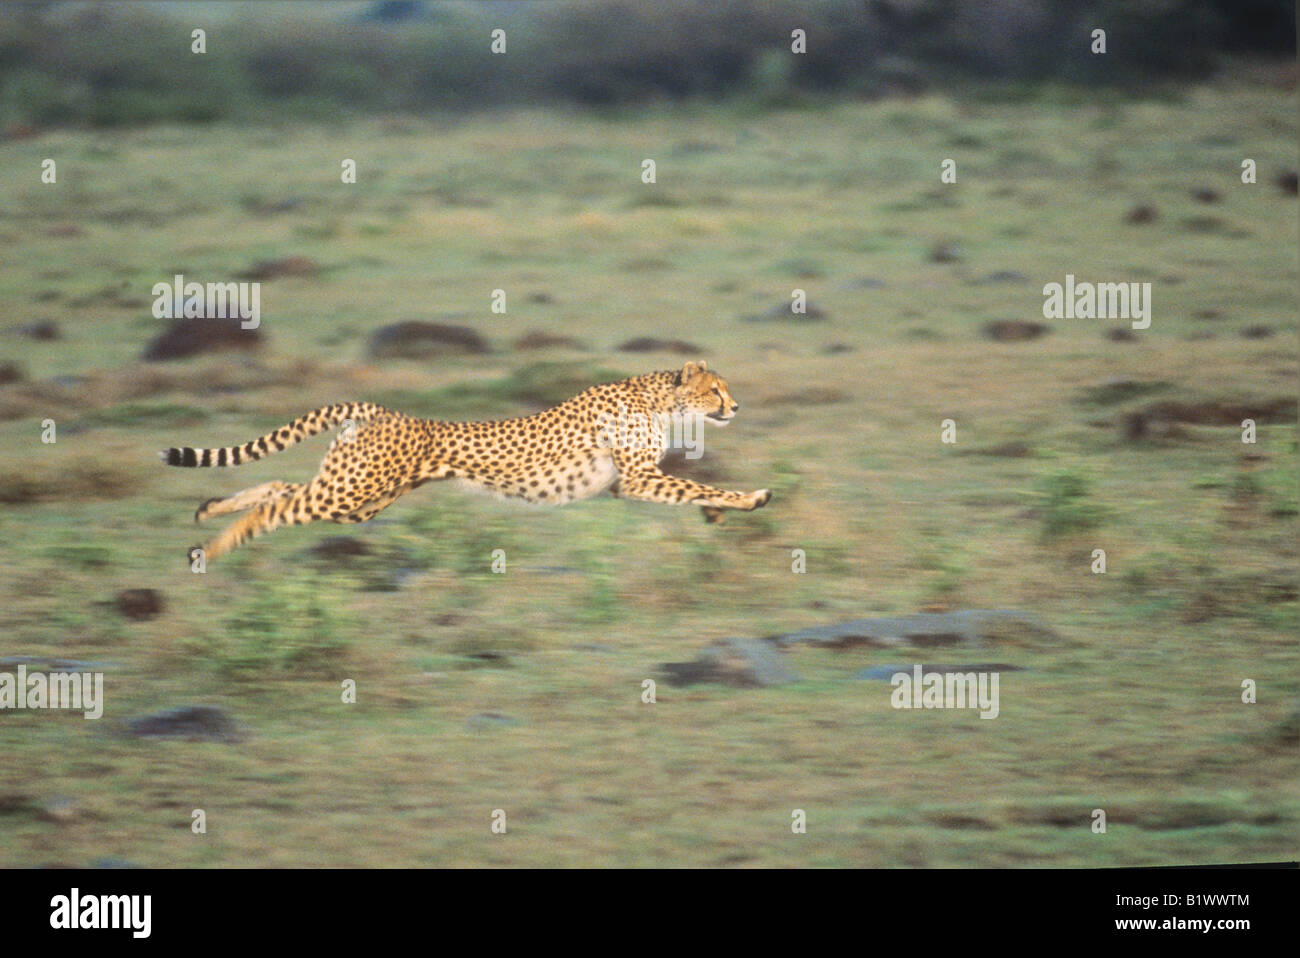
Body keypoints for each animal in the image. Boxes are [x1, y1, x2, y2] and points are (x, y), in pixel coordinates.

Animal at [160, 361, 771, 562]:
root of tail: (383, 409)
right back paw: (209, 550)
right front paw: (750, 498)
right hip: (353, 494)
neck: (659, 399)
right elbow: (697, 486)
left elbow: (691, 489)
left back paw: (208, 509)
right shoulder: (638, 477)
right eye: (716, 390)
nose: (737, 406)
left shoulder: (628, 483)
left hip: (359, 497)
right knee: (276, 507)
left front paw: (718, 513)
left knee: (280, 488)